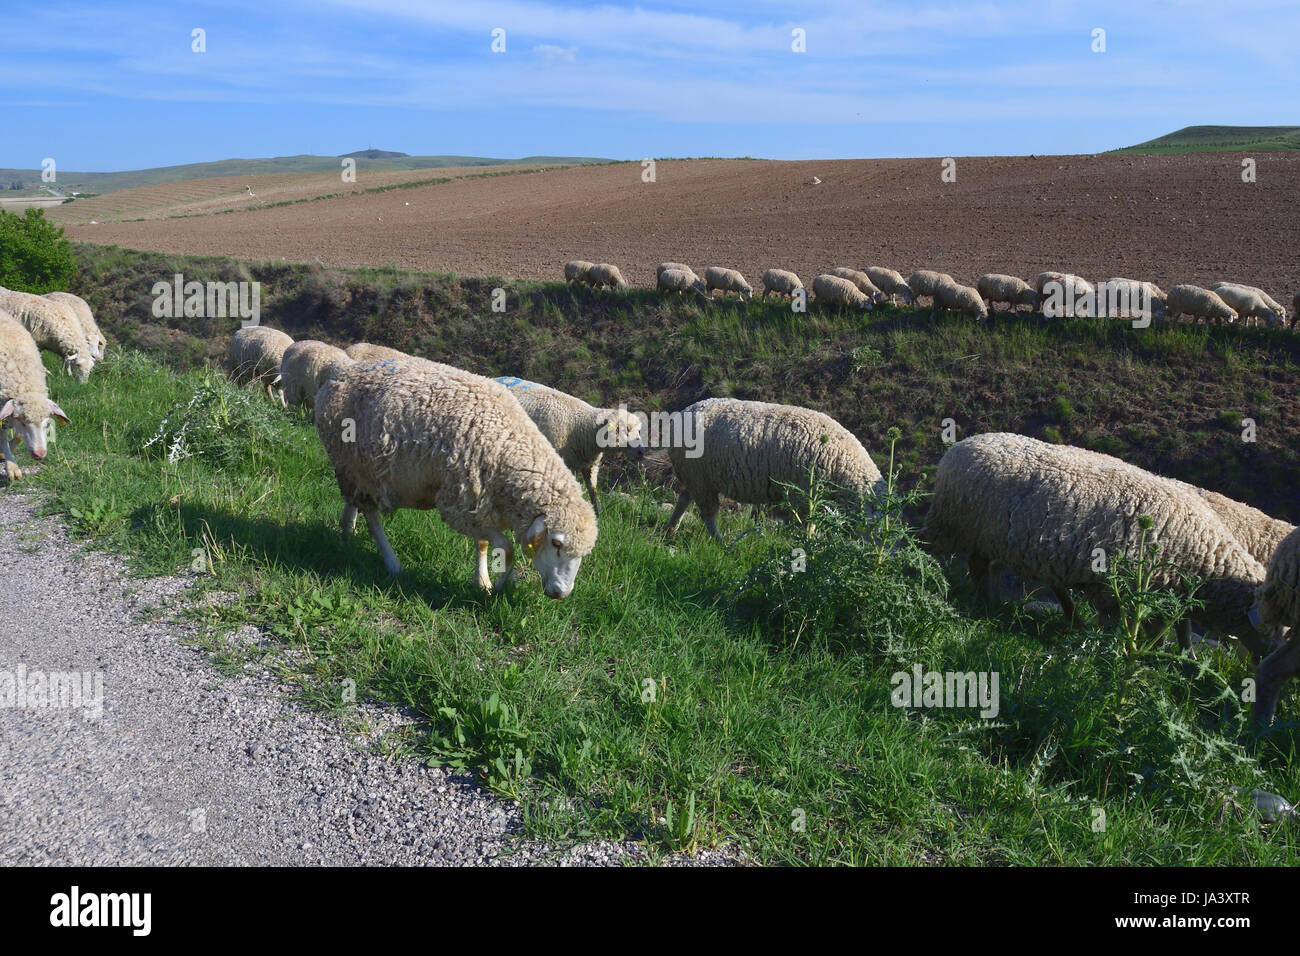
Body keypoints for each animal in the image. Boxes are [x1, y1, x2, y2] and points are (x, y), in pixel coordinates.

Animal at [0, 311, 70, 482]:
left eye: (47, 422)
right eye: (21, 420)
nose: (40, 454)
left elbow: (18, 436)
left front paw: (5, 454)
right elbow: (3, 437)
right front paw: (11, 467)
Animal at [315, 360, 598, 599]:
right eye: (556, 542)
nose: (561, 593)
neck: (507, 443)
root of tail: (340, 375)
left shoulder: (478, 501)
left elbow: (483, 545)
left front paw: (483, 582)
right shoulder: (458, 505)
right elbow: (506, 548)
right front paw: (501, 584)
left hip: (357, 469)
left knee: (355, 501)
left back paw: (347, 529)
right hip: (354, 465)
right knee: (373, 520)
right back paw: (393, 563)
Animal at [496, 378, 646, 514]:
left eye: (638, 431)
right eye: (623, 430)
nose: (642, 451)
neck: (582, 427)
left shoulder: (590, 465)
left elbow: (593, 490)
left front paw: (599, 512)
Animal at [665, 397, 884, 541]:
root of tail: (684, 412)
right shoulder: (803, 497)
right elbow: (808, 526)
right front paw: (810, 543)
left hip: (695, 477)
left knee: (683, 499)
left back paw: (671, 530)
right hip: (700, 478)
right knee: (707, 515)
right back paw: (720, 542)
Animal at [924, 432, 1271, 652]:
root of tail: (961, 445)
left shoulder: (1164, 594)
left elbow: (1165, 629)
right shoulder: (1115, 587)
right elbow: (1121, 625)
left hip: (991, 539)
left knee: (986, 568)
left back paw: (994, 603)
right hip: (954, 524)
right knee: (939, 553)